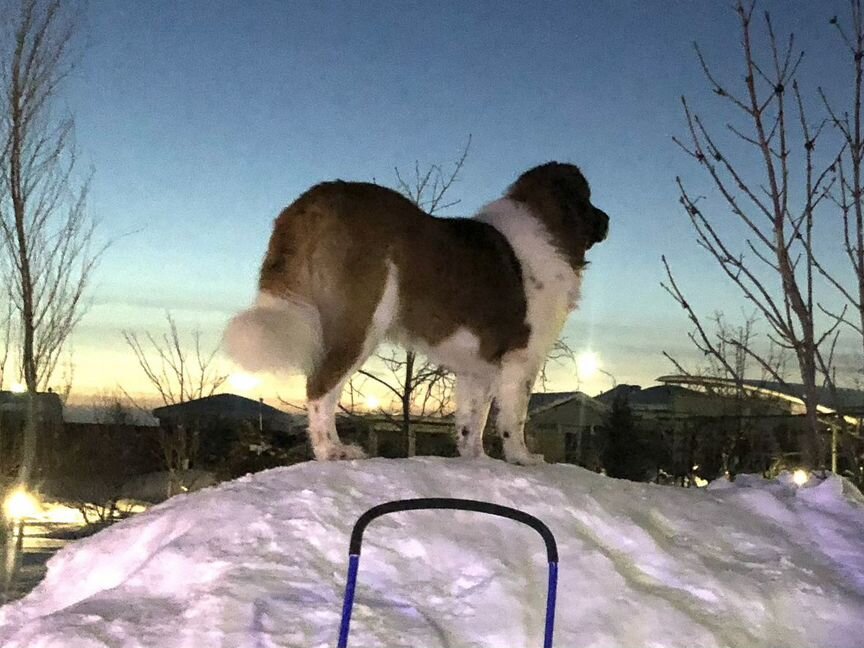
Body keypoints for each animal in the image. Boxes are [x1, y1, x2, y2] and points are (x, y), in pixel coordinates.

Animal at [226, 162, 612, 466]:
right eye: (589, 199)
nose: (607, 219)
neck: (545, 226)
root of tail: (317, 198)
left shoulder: (478, 368)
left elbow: (472, 421)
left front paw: (477, 460)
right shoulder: (521, 360)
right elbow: (513, 418)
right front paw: (522, 458)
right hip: (362, 323)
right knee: (320, 388)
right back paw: (332, 451)